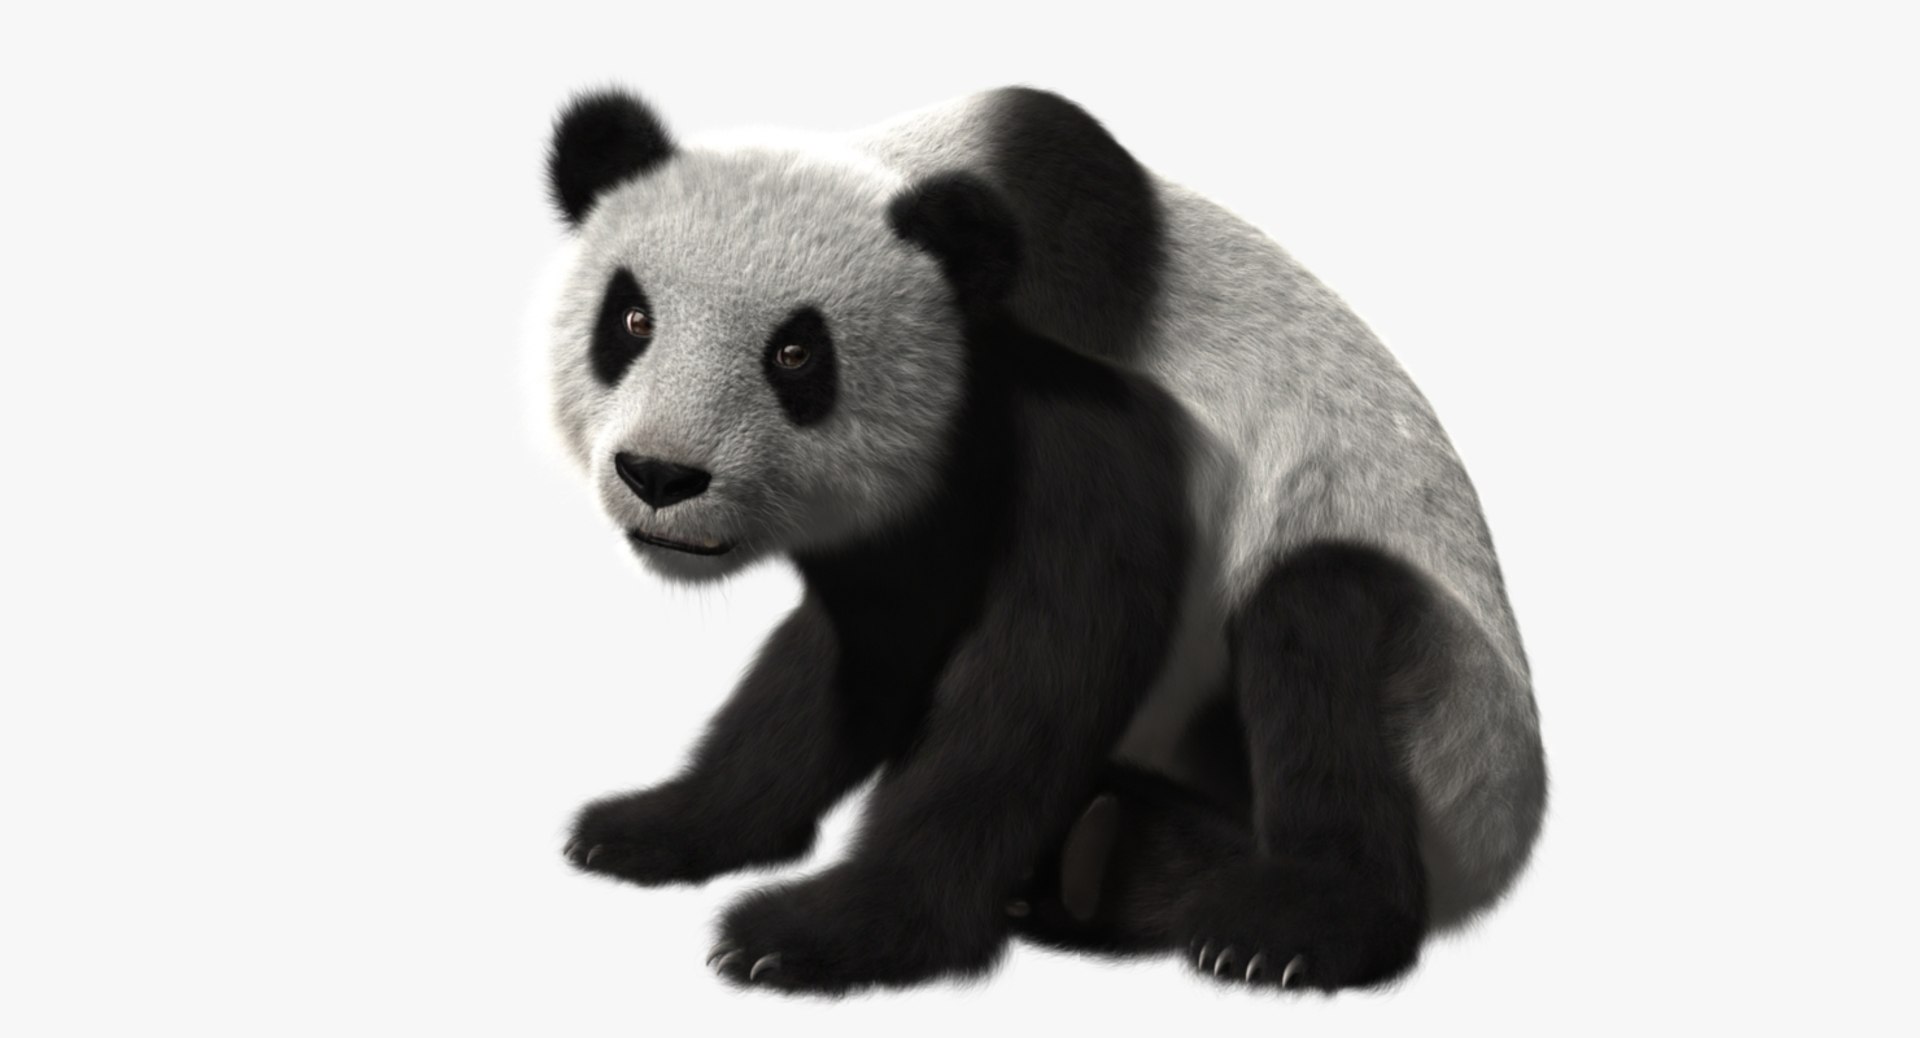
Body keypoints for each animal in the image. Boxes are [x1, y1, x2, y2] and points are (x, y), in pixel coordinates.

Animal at [540, 87, 1545, 995]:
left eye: (796, 353)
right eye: (631, 320)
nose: (661, 475)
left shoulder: (1090, 422)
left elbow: (1041, 674)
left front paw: (818, 932)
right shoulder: (917, 509)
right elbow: (854, 660)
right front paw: (655, 827)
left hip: (1450, 711)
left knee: (1320, 622)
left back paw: (1274, 927)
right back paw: (1095, 863)